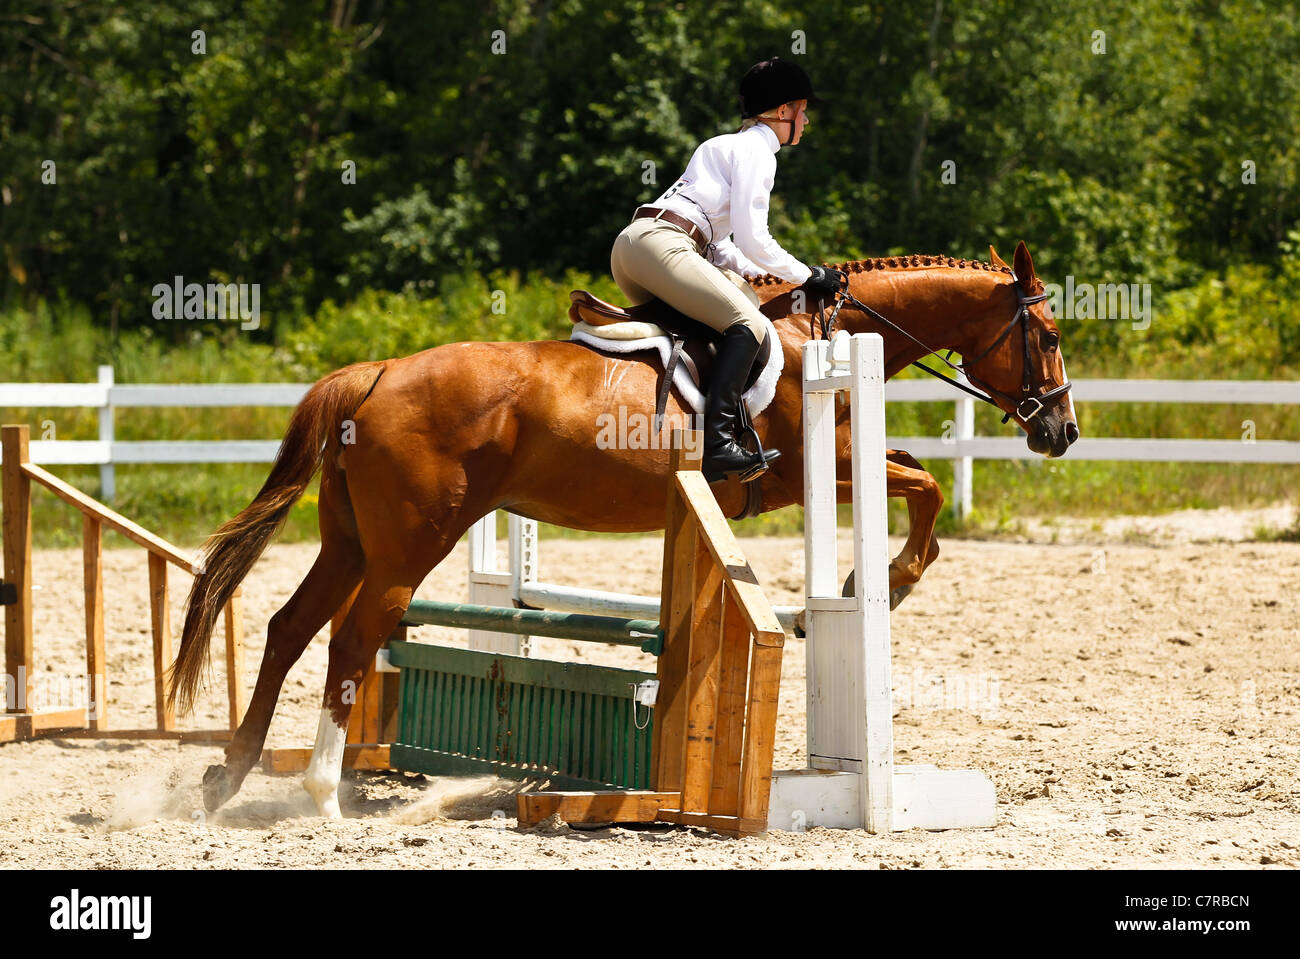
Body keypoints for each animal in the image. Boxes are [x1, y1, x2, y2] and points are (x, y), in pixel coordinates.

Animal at [172, 240, 1077, 818]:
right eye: (1050, 335)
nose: (1060, 432)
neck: (816, 338)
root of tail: (377, 371)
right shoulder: (813, 469)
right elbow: (926, 486)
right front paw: (878, 582)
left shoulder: (846, 457)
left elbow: (918, 470)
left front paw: (870, 581)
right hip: (408, 546)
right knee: (353, 639)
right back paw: (322, 793)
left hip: (351, 541)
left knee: (290, 626)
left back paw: (229, 777)